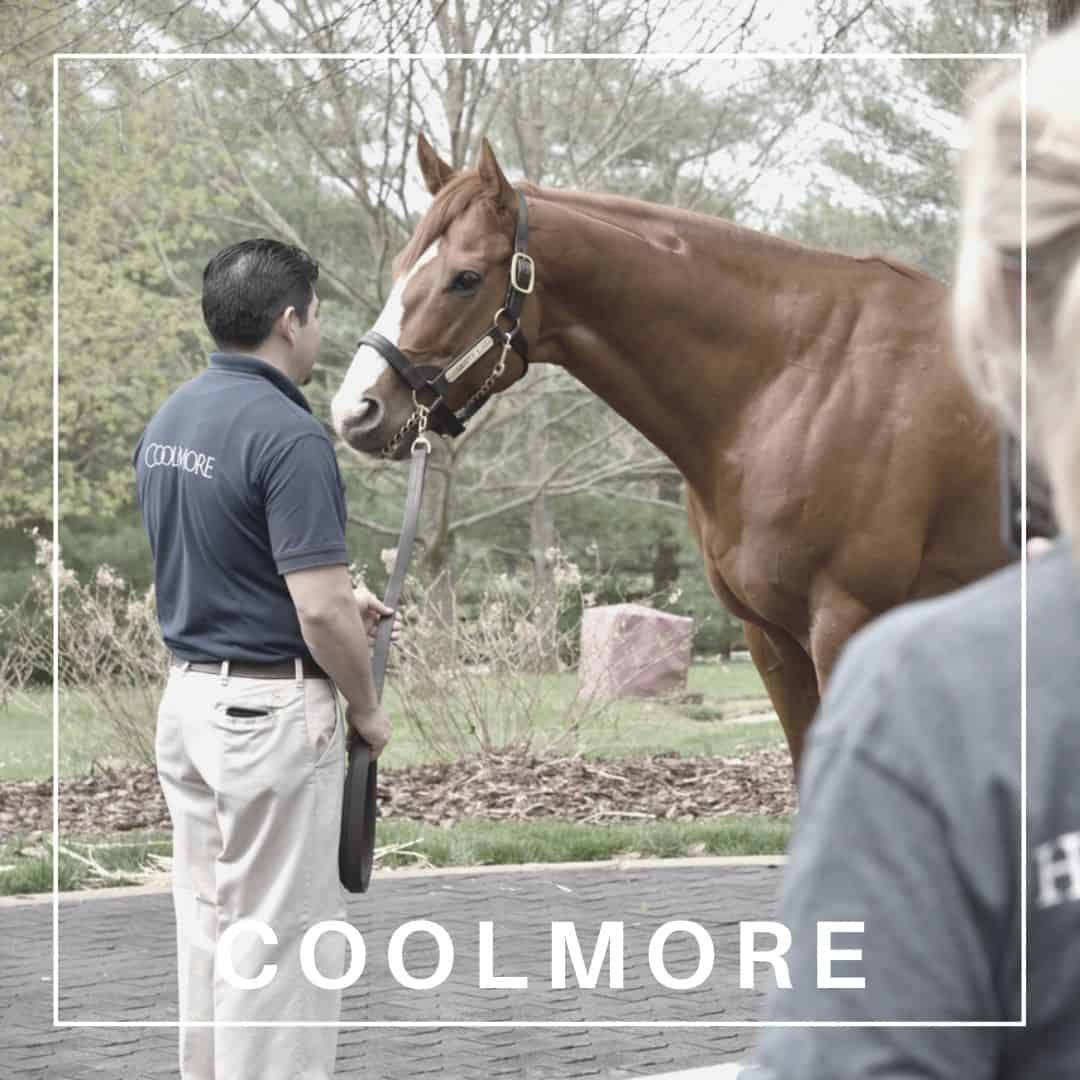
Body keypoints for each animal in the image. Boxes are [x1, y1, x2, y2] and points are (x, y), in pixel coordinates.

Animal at [331, 135, 1010, 770]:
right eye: (401, 265)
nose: (355, 410)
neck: (800, 380)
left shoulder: (845, 623)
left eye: (466, 278)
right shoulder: (769, 639)